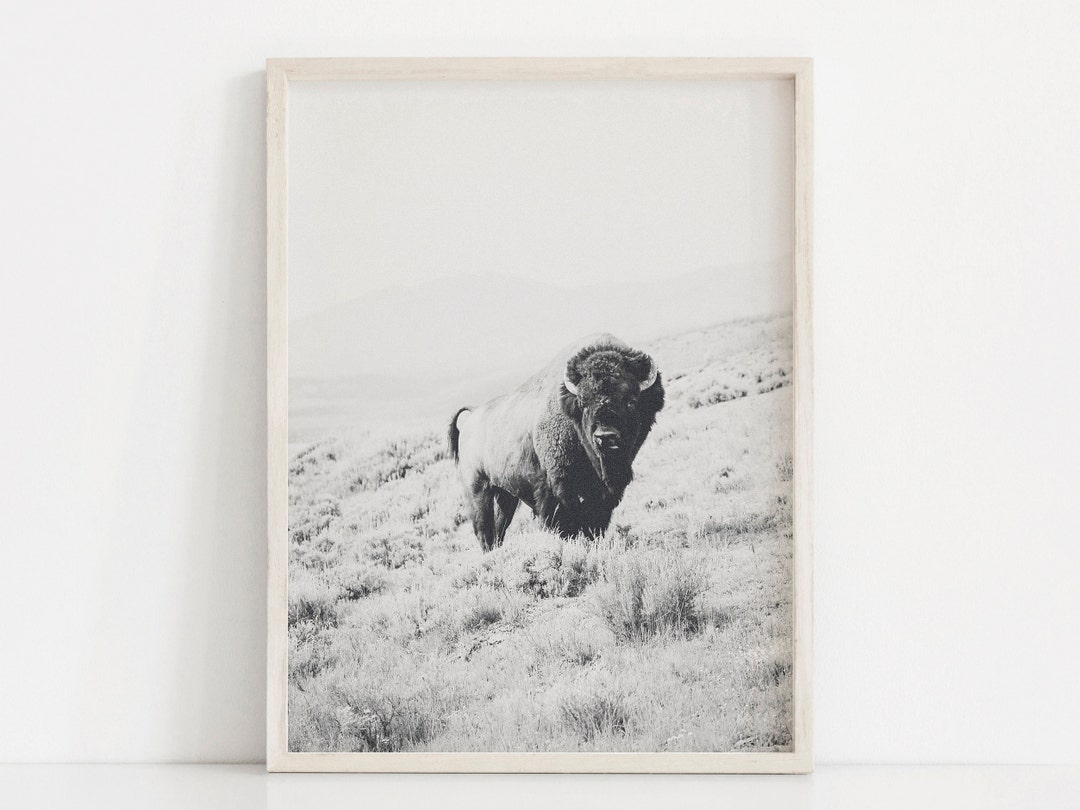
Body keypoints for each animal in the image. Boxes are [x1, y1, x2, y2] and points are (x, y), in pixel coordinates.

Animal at [448, 334, 664, 551]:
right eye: (583, 403)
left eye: (631, 400)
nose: (605, 435)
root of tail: (473, 414)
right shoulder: (557, 486)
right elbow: (565, 522)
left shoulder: (603, 493)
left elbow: (594, 522)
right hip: (478, 489)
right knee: (484, 528)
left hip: (505, 494)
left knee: (500, 527)